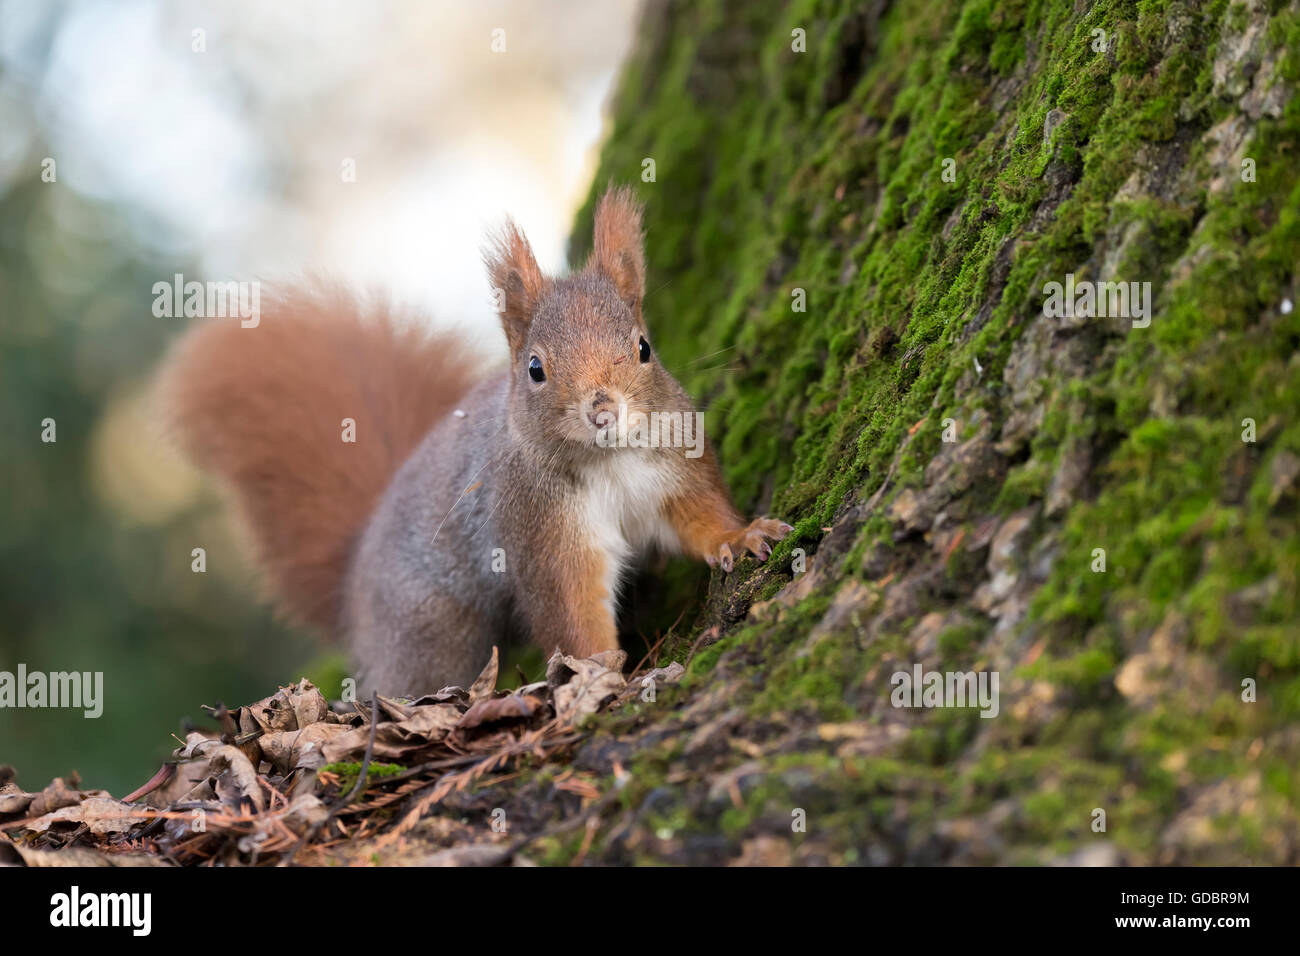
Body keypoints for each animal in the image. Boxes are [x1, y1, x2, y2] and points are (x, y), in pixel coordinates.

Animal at [162, 188, 790, 697]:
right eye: (535, 369)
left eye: (643, 348)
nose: (603, 411)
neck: (608, 461)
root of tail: (355, 572)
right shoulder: (541, 528)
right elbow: (572, 608)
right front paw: (605, 673)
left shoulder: (675, 468)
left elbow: (701, 516)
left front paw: (743, 535)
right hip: (428, 630)